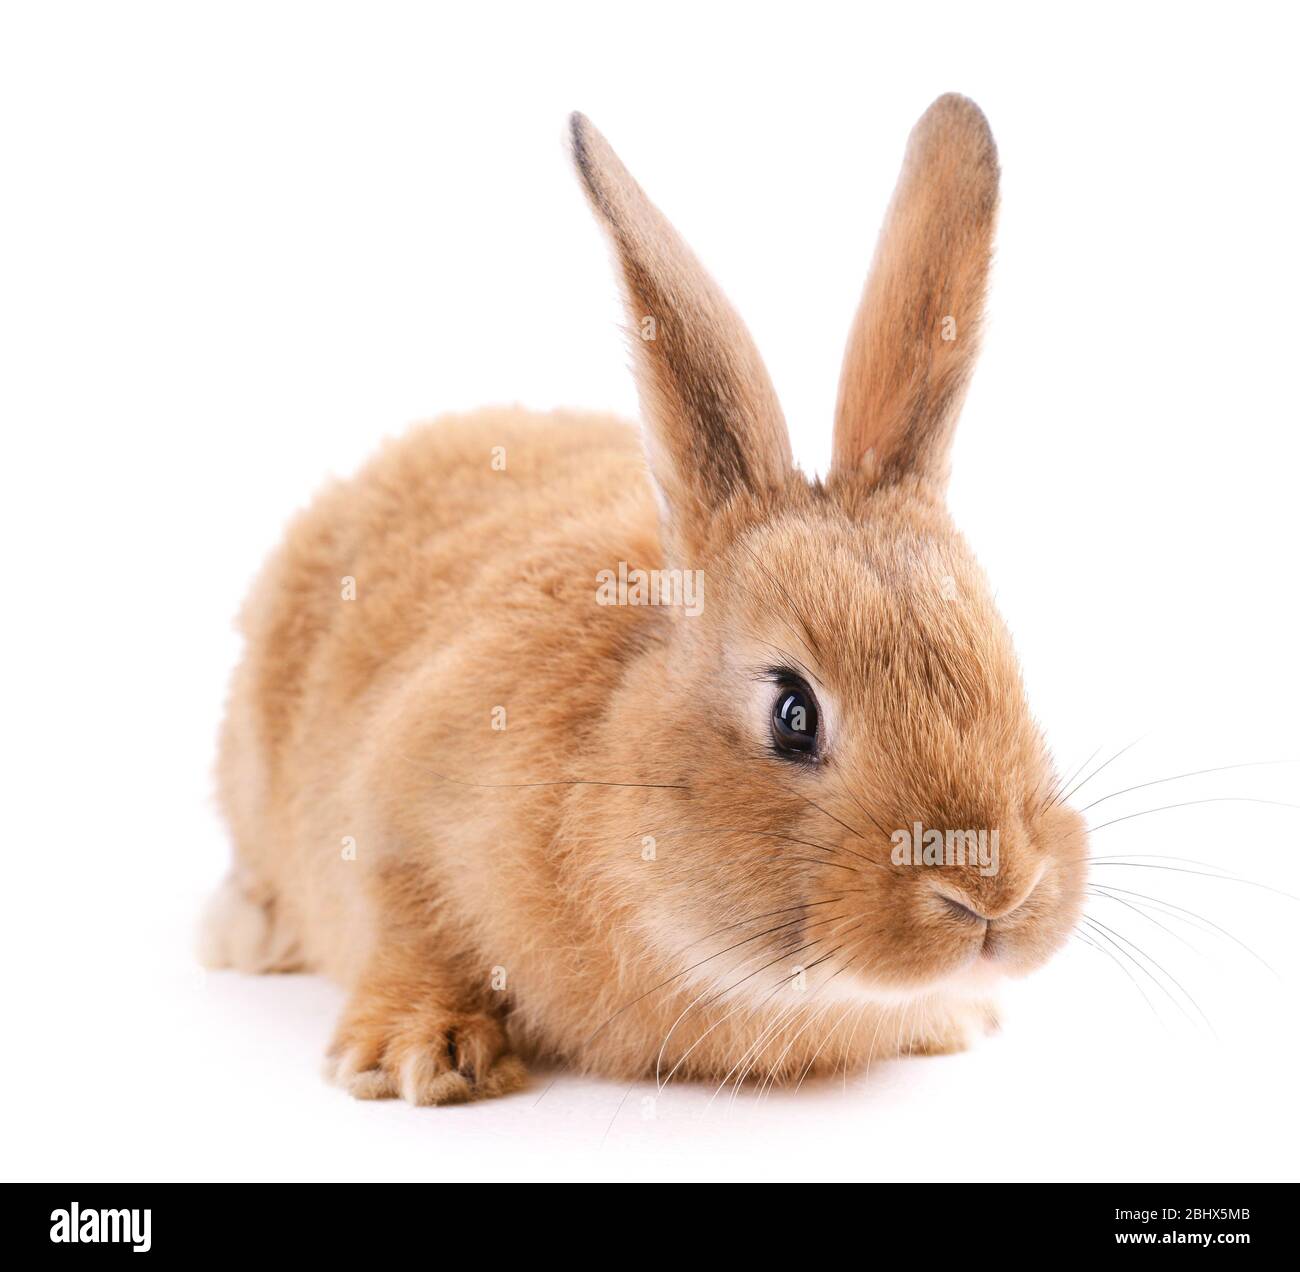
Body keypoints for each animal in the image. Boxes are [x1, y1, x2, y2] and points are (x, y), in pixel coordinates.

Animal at [202, 93, 1088, 1105]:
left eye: (1010, 670)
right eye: (793, 713)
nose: (995, 893)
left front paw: (952, 1021)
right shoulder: (397, 809)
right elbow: (411, 932)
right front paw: (419, 1055)